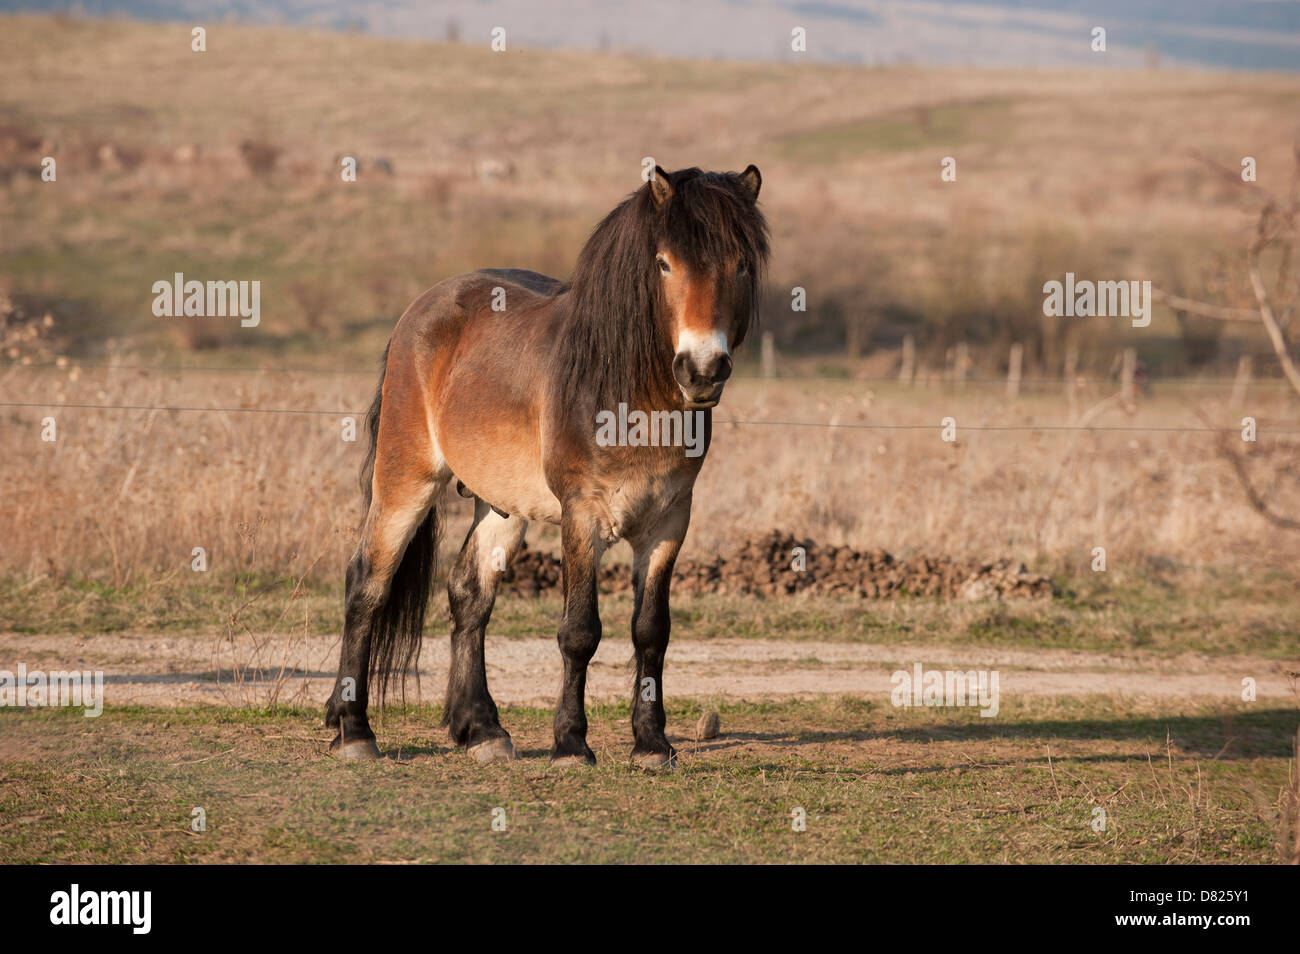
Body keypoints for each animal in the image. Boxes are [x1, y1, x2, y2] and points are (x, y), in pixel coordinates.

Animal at [324, 164, 769, 768]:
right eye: (664, 263)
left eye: (740, 264)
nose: (702, 369)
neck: (630, 397)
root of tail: (419, 310)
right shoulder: (582, 515)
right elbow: (579, 632)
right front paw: (571, 744)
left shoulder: (670, 521)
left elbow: (651, 630)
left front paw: (652, 744)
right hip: (405, 480)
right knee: (367, 584)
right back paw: (354, 731)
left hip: (503, 505)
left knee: (470, 593)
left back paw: (483, 730)